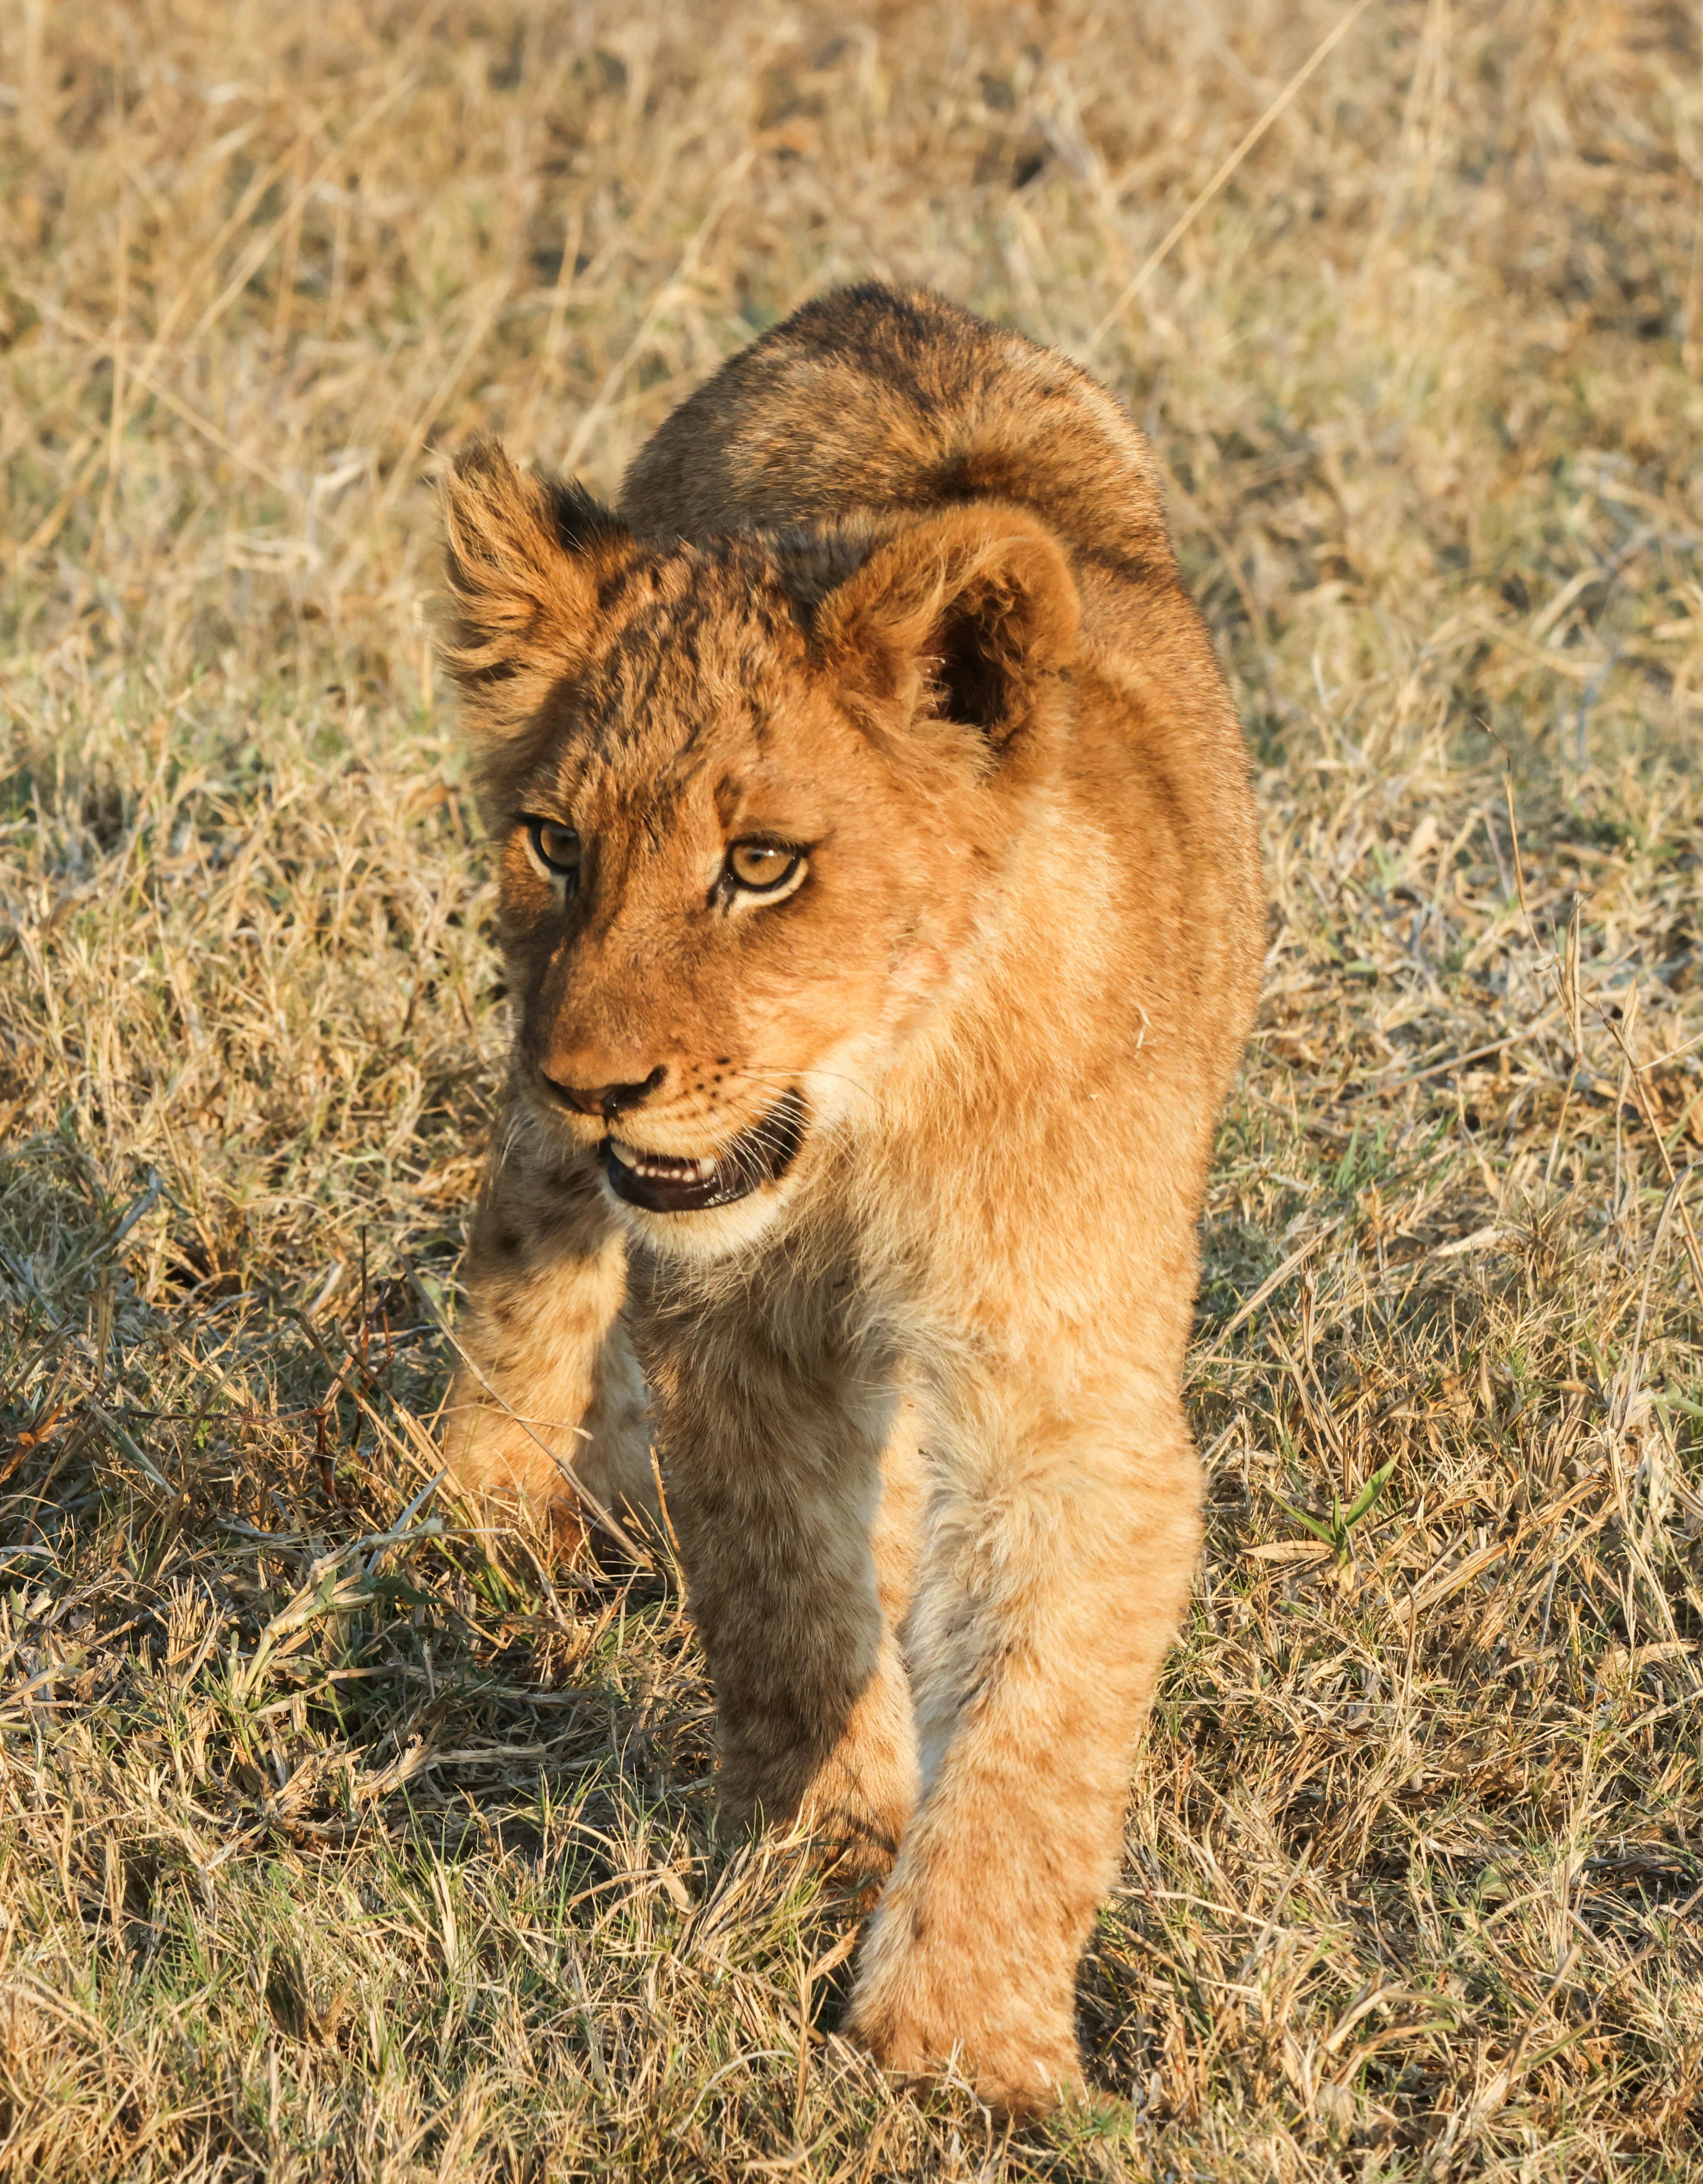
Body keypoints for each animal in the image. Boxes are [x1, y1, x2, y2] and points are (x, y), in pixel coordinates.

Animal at [435, 284, 1261, 2116]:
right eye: (555, 841)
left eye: (761, 866)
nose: (599, 1080)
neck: (879, 1119)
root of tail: (882, 305)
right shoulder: (737, 1330)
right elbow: (782, 1604)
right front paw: (825, 1852)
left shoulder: (1070, 1396)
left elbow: (1037, 1726)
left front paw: (958, 2048)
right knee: (528, 1259)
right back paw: (477, 1512)